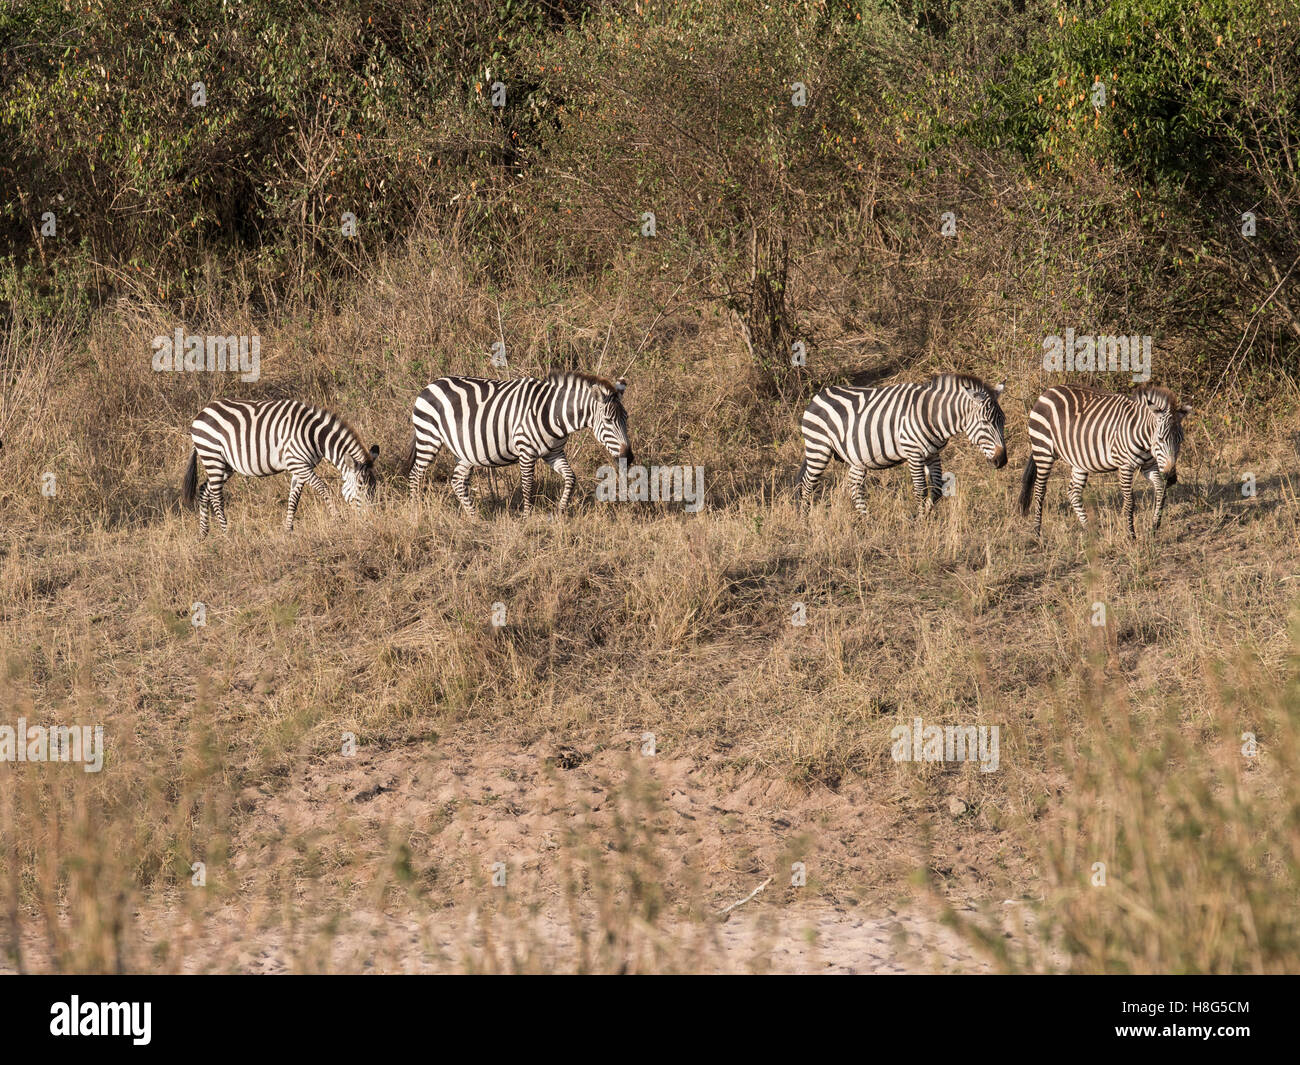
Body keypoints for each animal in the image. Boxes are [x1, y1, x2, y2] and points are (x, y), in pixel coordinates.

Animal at [181, 399, 379, 536]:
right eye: (361, 487)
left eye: (374, 488)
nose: (371, 519)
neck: (314, 436)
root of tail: (200, 414)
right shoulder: (298, 464)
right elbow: (324, 489)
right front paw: (338, 519)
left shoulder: (301, 468)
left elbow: (294, 499)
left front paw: (288, 529)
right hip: (212, 456)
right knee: (216, 496)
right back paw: (226, 532)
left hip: (225, 464)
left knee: (204, 489)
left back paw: (203, 534)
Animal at [401, 371, 633, 515]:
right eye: (608, 421)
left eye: (626, 418)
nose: (628, 458)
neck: (553, 413)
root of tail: (431, 385)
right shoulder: (526, 451)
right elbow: (528, 484)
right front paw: (527, 516)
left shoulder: (554, 452)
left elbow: (571, 478)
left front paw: (561, 510)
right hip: (429, 437)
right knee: (416, 475)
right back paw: (415, 511)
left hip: (464, 450)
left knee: (458, 481)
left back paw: (474, 517)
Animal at [798, 373, 1008, 514]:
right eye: (985, 422)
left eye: (1003, 421)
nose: (1002, 460)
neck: (932, 415)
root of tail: (819, 395)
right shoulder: (913, 453)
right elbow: (920, 490)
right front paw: (920, 522)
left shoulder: (933, 454)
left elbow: (937, 488)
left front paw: (926, 514)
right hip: (819, 448)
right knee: (808, 483)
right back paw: (805, 517)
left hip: (858, 456)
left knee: (854, 484)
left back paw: (865, 520)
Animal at [1017, 383, 1191, 537]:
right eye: (1160, 439)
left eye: (1180, 440)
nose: (1171, 477)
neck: (1145, 440)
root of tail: (1048, 391)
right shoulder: (1125, 466)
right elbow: (1130, 502)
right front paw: (1131, 535)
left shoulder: (1150, 466)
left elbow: (1161, 491)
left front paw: (1154, 527)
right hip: (1043, 450)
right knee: (1040, 490)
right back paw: (1037, 532)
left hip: (1079, 460)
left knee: (1073, 492)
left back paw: (1091, 531)